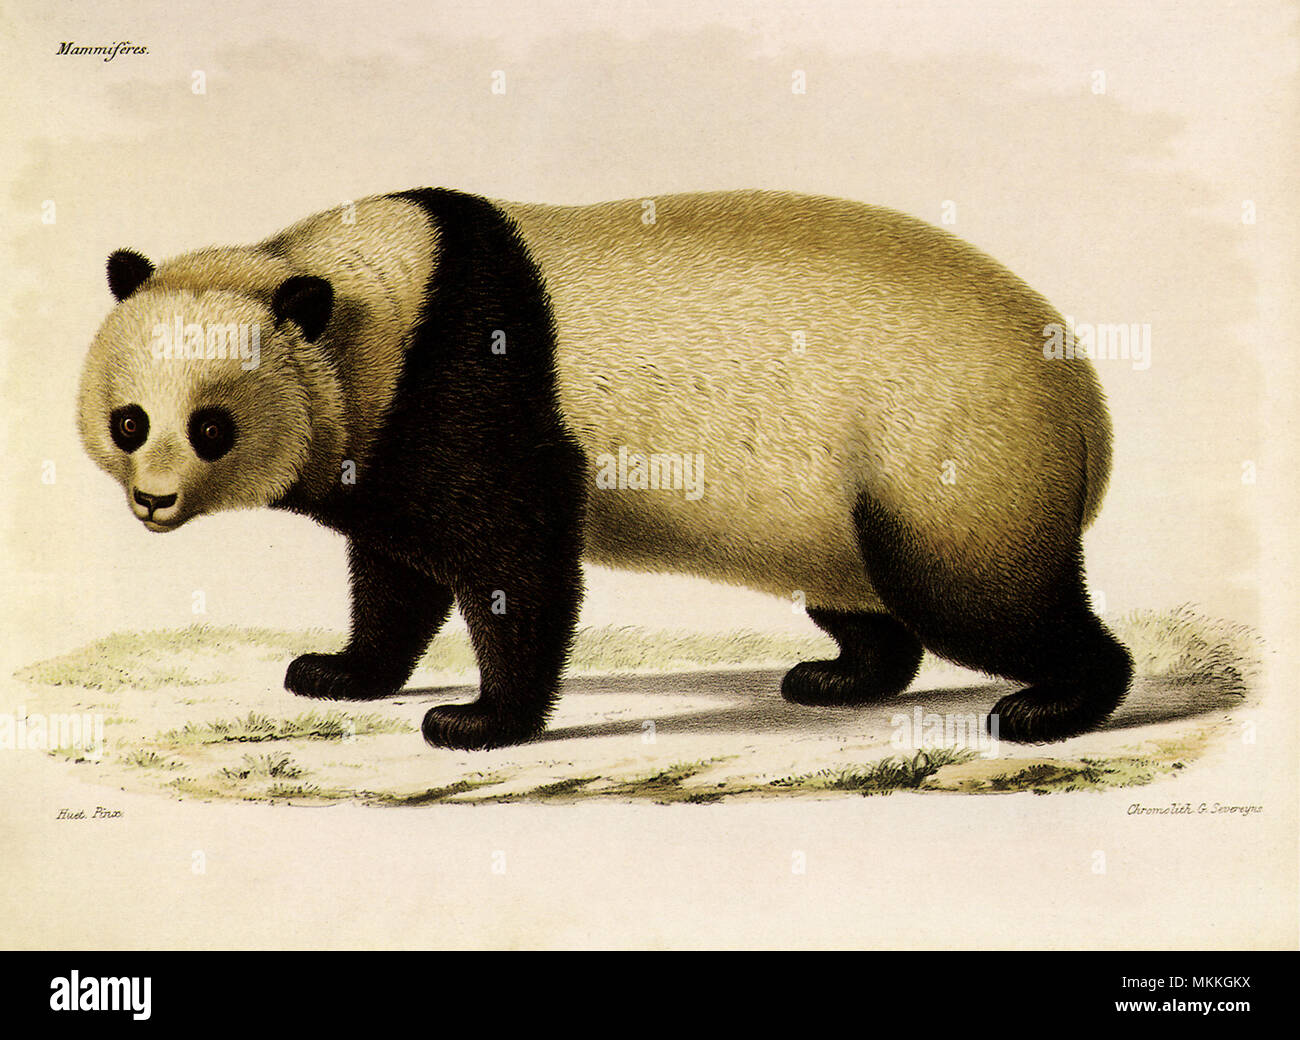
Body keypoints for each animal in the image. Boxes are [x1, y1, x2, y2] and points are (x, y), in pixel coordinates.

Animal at [78, 188, 1133, 750]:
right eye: (130, 420)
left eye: (211, 427)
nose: (154, 501)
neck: (376, 303)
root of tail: (1086, 404)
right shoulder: (376, 436)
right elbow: (394, 571)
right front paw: (340, 670)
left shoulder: (468, 380)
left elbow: (515, 555)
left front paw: (475, 720)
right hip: (832, 505)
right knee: (865, 596)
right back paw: (838, 675)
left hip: (941, 453)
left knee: (979, 599)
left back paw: (1052, 703)